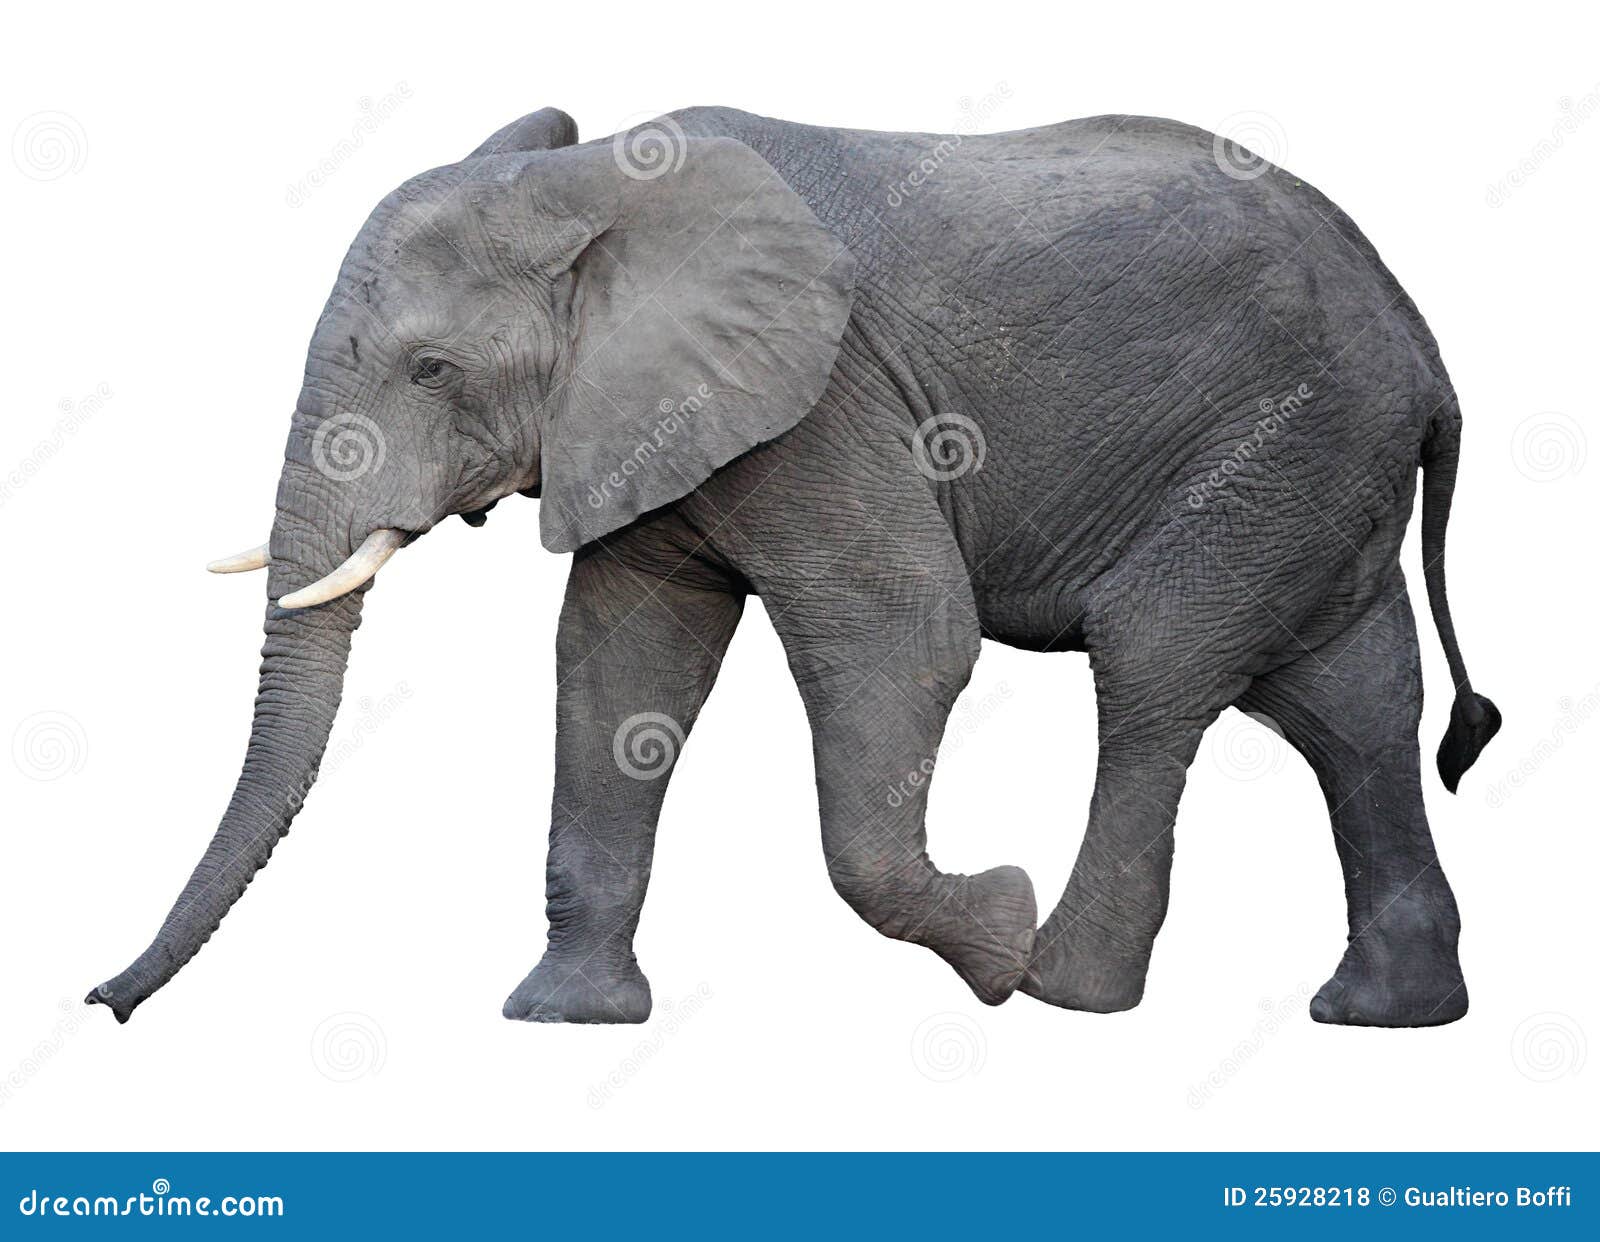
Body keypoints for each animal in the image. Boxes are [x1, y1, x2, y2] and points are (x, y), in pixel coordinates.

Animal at [87, 105, 1500, 1029]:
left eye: (430, 370)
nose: (104, 1002)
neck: (593, 181)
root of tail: (1426, 348)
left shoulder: (826, 405)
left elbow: (905, 635)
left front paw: (993, 934)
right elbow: (618, 670)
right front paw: (561, 1020)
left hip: (1281, 446)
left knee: (1158, 668)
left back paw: (1061, 988)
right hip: (1319, 474)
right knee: (1351, 708)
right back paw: (1384, 1016)